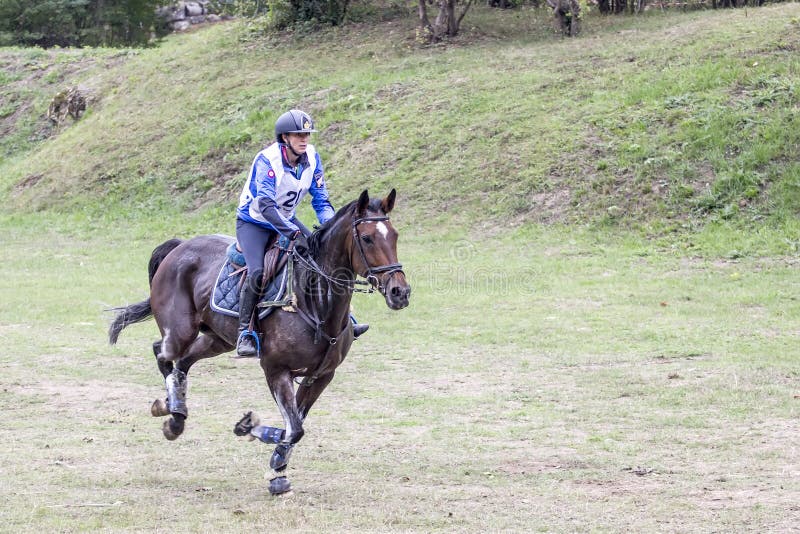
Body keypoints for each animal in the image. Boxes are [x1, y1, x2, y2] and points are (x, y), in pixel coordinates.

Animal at [108, 189, 411, 495]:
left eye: (395, 235)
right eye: (367, 238)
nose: (400, 292)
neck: (314, 302)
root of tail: (179, 247)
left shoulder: (321, 376)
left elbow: (295, 425)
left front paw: (277, 469)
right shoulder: (276, 371)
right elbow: (294, 428)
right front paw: (247, 427)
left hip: (218, 340)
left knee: (182, 362)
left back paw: (175, 414)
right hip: (181, 331)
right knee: (162, 353)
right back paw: (172, 413)